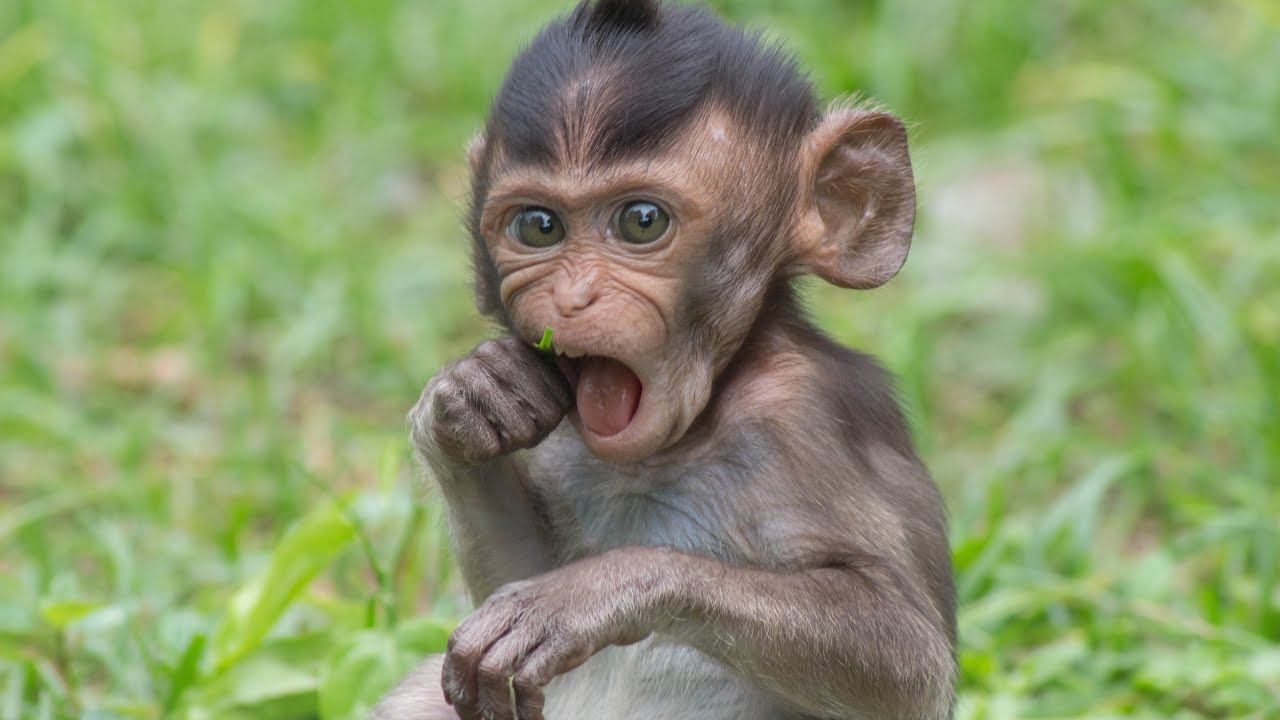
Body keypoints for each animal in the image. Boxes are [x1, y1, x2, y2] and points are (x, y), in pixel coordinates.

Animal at [372, 1, 956, 719]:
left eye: (642, 221)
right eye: (538, 226)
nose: (572, 297)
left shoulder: (809, 416)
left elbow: (908, 662)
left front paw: (595, 591)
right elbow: (503, 596)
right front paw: (474, 393)